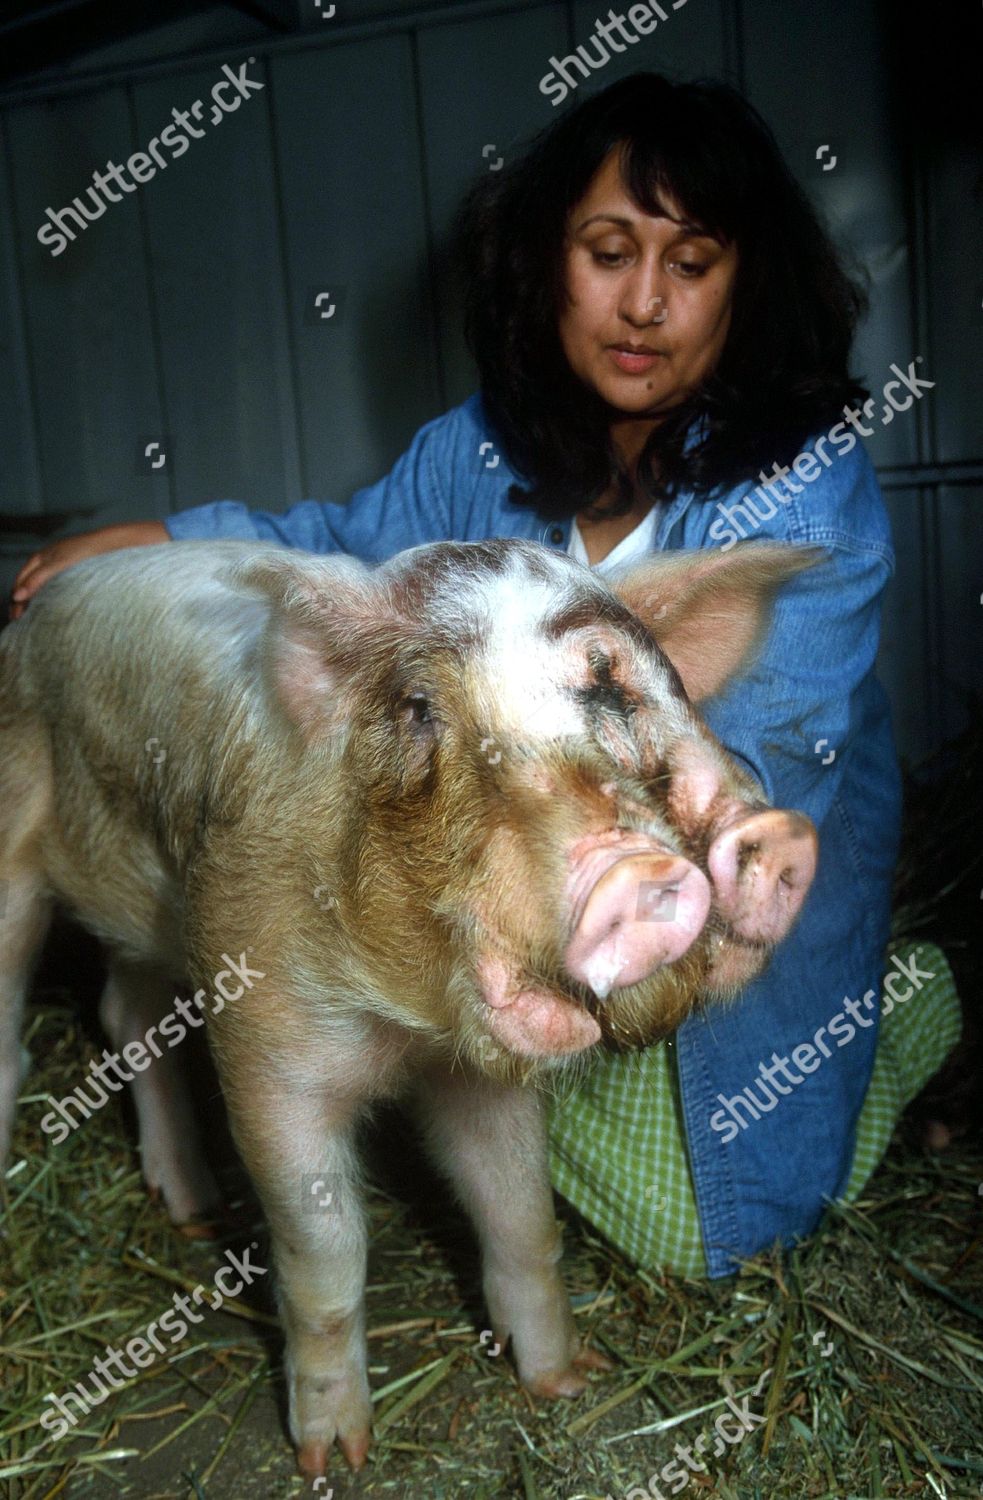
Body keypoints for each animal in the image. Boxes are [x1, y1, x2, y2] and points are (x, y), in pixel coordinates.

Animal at [0, 536, 818, 1477]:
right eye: (420, 709)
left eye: (640, 687)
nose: (778, 836)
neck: (411, 1025)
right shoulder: (265, 1045)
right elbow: (326, 1255)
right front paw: (333, 1458)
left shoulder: (483, 1080)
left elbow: (520, 1214)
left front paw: (565, 1382)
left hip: (151, 917)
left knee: (127, 1014)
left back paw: (195, 1211)